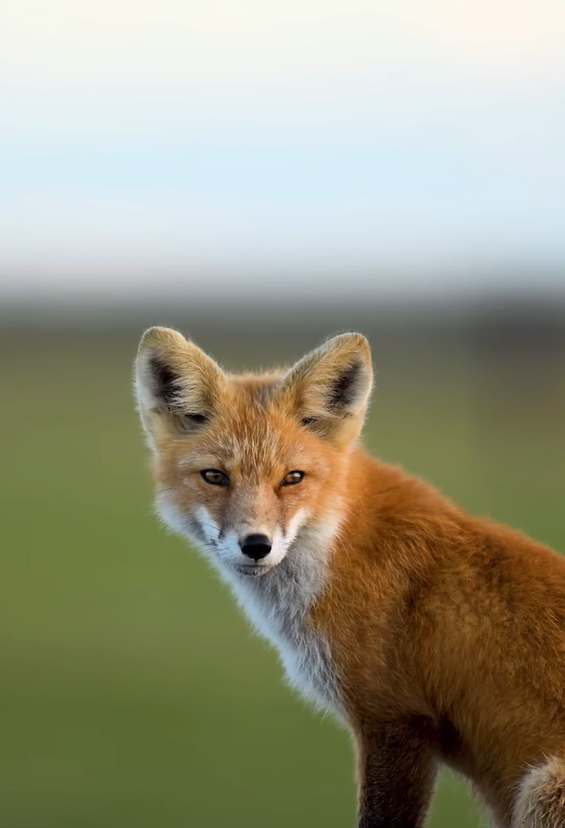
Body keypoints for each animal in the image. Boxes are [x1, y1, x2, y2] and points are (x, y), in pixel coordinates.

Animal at [134, 326, 565, 828]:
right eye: (215, 477)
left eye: (292, 478)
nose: (256, 545)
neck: (338, 544)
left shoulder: (396, 720)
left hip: (541, 789)